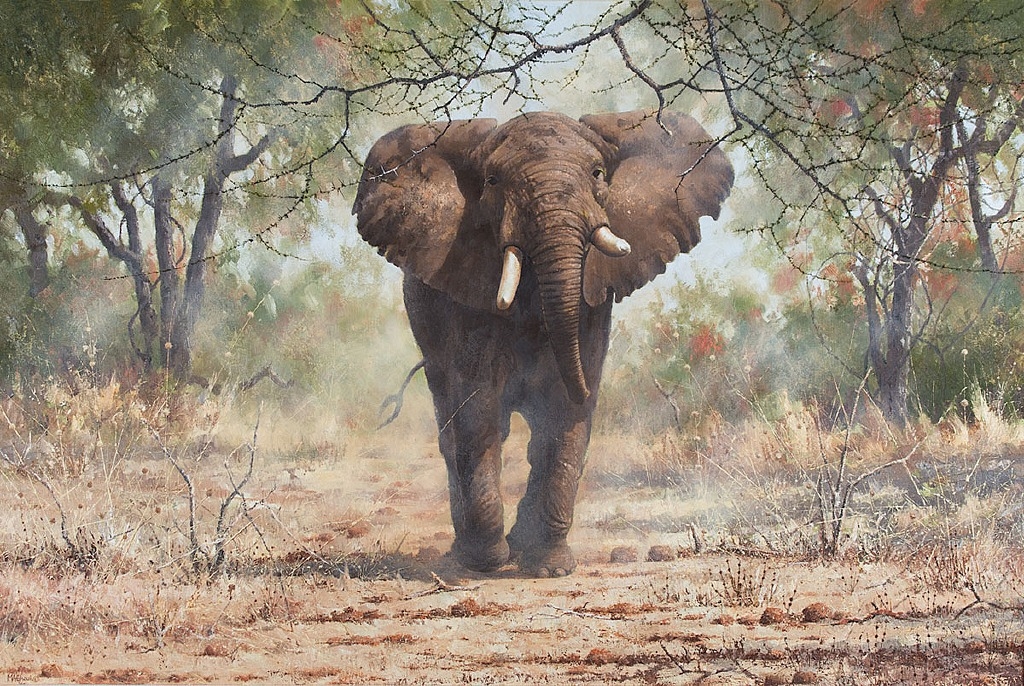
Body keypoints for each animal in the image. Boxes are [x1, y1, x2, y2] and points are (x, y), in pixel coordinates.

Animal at [352, 110, 733, 577]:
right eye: (492, 181)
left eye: (598, 173)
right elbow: (478, 406)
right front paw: (488, 563)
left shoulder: (592, 302)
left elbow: (563, 416)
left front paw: (548, 567)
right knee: (454, 425)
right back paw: (467, 553)